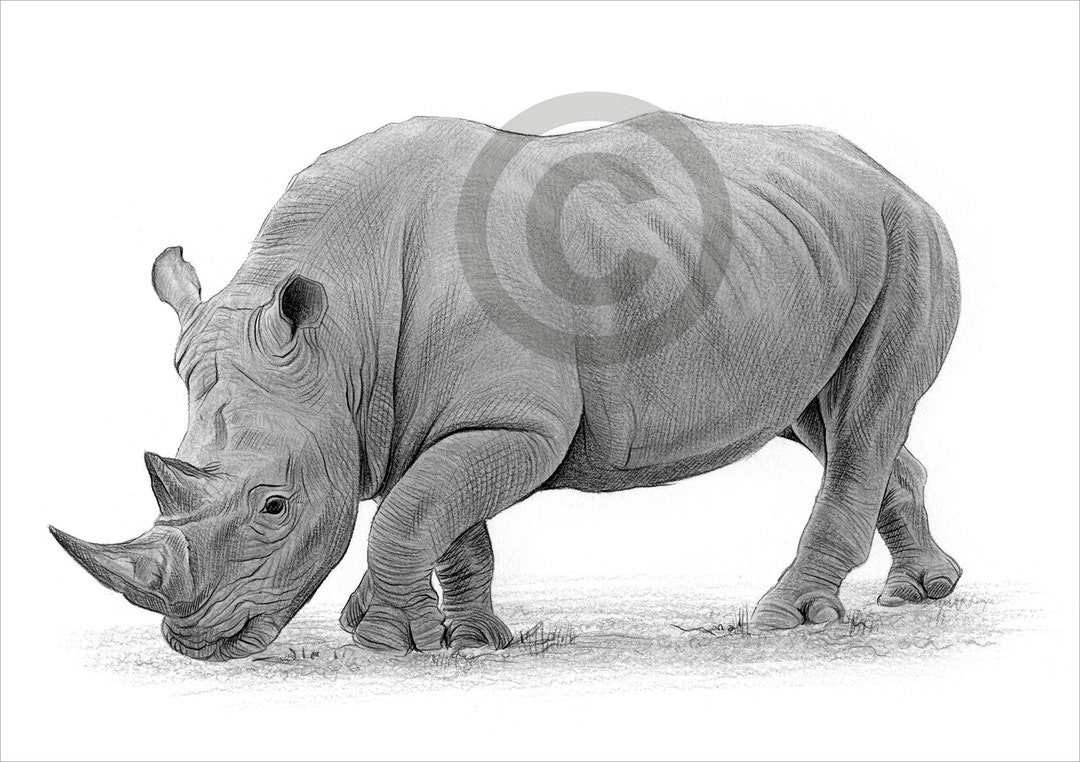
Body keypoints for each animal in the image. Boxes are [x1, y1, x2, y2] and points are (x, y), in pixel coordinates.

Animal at [50, 113, 961, 660]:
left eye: (273, 506)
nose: (193, 642)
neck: (341, 334)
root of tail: (891, 175)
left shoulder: (518, 423)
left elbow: (413, 511)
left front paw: (386, 642)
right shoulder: (434, 415)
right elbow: (448, 522)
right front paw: (470, 637)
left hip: (908, 240)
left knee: (863, 419)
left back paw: (788, 622)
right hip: (815, 249)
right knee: (831, 422)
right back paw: (921, 593)